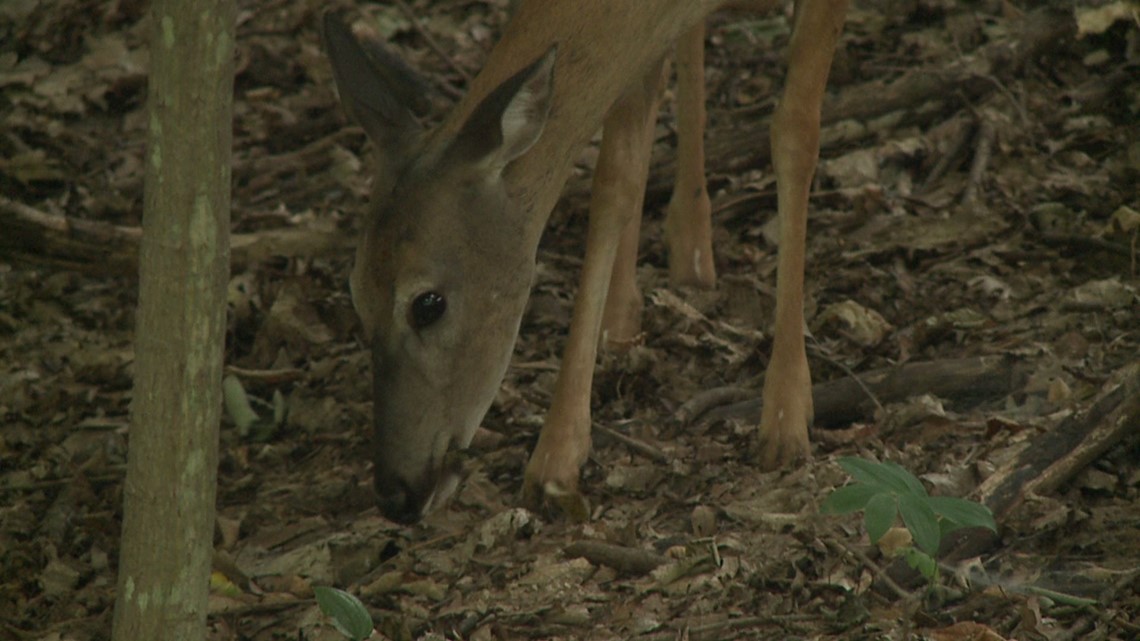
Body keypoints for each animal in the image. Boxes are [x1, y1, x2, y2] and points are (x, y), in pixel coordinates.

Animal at [322, 0, 847, 524]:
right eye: (355, 295)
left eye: (428, 303)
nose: (394, 496)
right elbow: (616, 173)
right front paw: (557, 458)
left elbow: (795, 130)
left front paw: (786, 418)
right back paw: (670, 267)